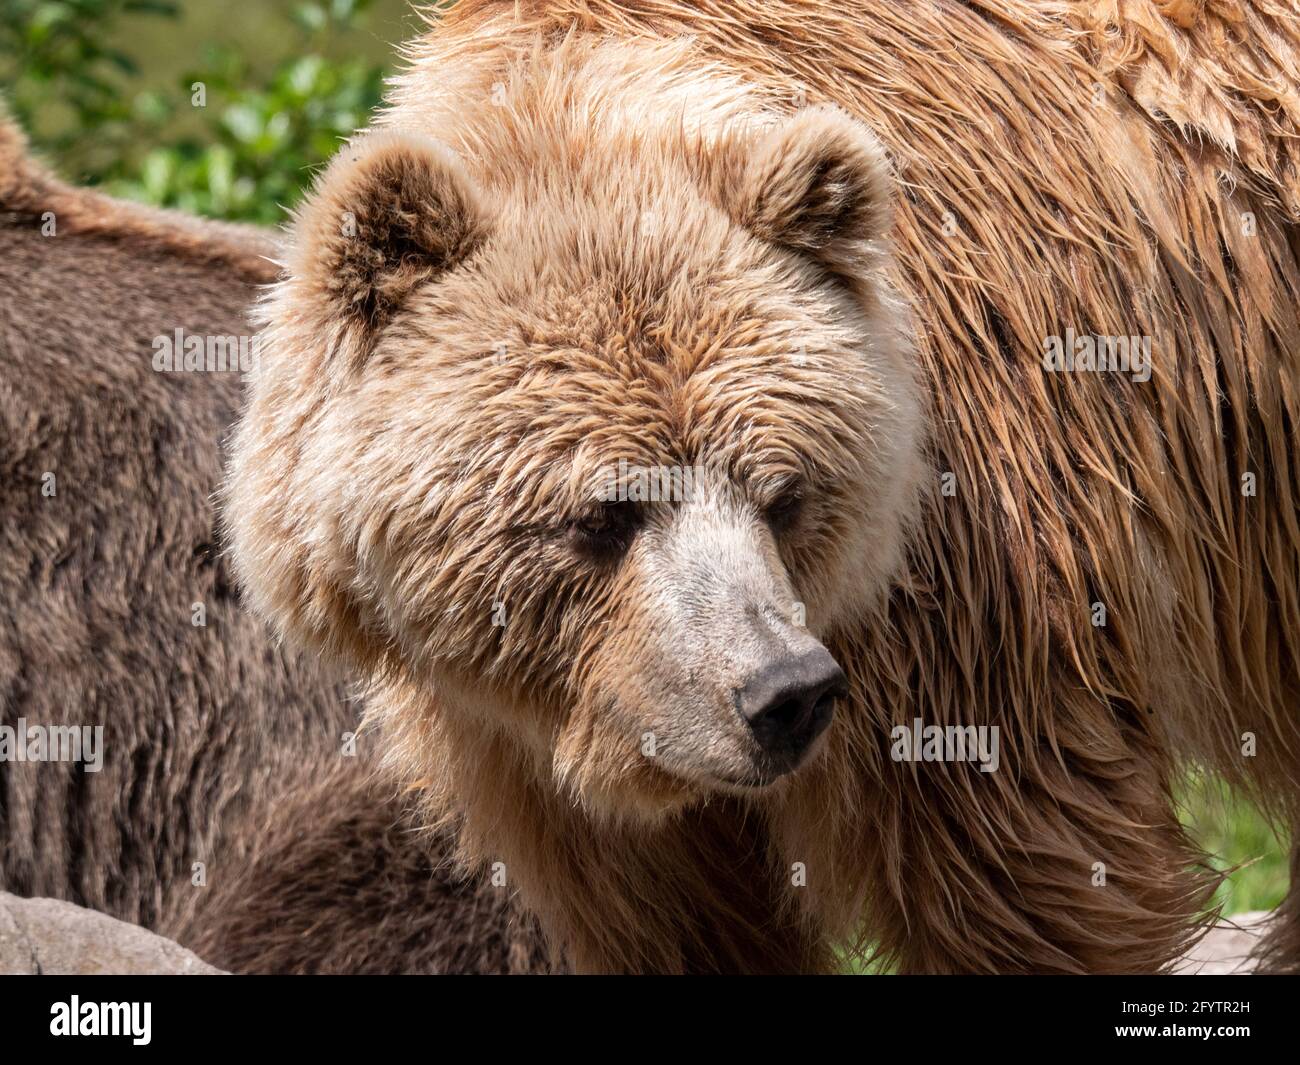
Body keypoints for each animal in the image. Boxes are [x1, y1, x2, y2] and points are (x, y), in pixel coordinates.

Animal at [226, 0, 1300, 974]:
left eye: (783, 492)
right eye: (605, 512)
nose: (784, 691)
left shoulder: (974, 582)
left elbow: (1022, 873)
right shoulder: (552, 746)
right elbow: (681, 919)